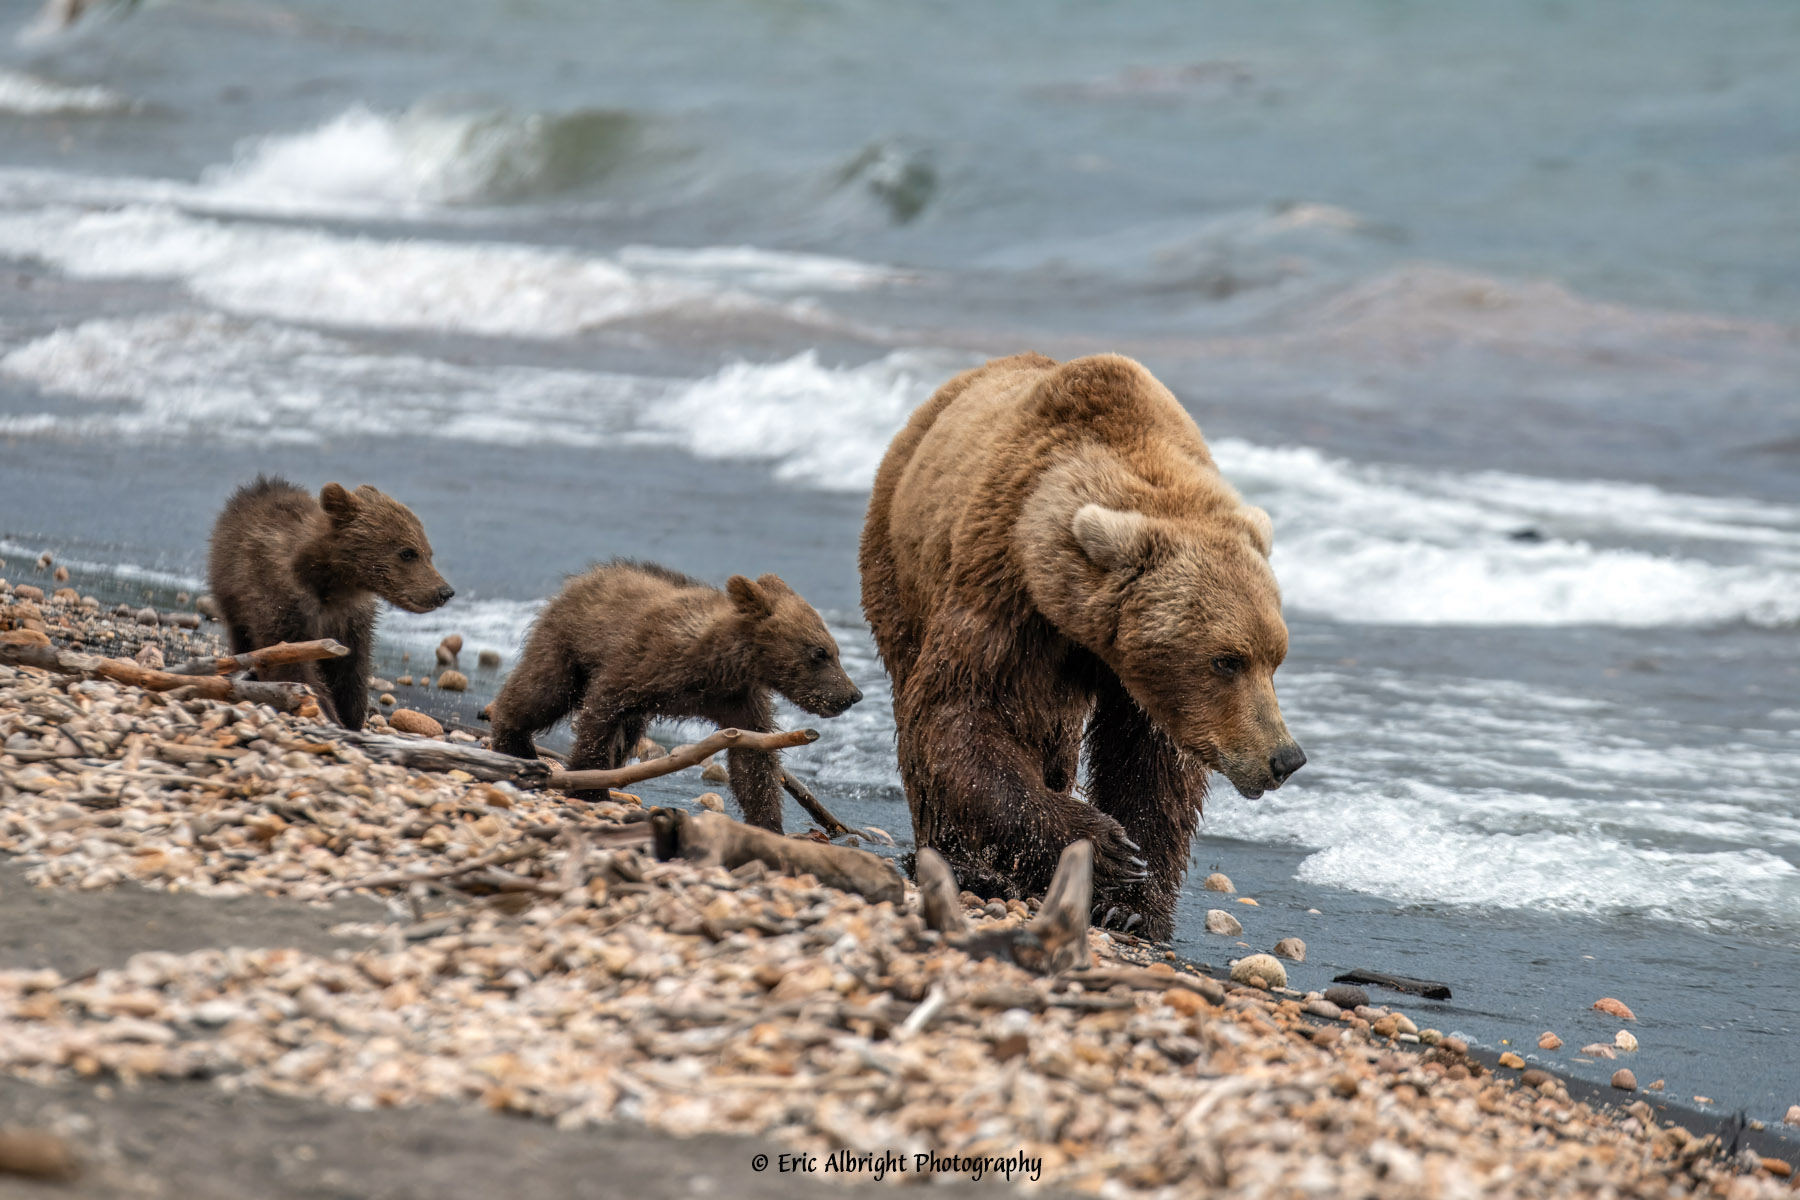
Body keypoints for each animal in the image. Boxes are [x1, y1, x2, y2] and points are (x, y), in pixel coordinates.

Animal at [208, 477, 454, 729]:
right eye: (407, 552)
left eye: (428, 552)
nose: (445, 591)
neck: (331, 582)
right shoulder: (282, 600)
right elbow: (291, 662)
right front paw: (327, 713)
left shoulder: (351, 619)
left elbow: (351, 669)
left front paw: (353, 717)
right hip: (231, 589)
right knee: (241, 634)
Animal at [484, 559, 863, 829]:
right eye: (820, 652)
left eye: (835, 650)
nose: (852, 694)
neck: (720, 665)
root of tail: (583, 577)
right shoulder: (641, 665)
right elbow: (601, 714)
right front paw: (590, 786)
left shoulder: (738, 702)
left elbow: (754, 761)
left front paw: (768, 822)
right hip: (567, 644)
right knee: (541, 693)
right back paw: (513, 743)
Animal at [859, 352, 1305, 940]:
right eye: (1226, 660)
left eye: (1274, 658)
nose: (1285, 758)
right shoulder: (1005, 598)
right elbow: (960, 712)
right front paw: (1107, 846)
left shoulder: (1139, 688)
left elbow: (1150, 770)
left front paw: (1132, 901)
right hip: (898, 569)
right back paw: (967, 865)